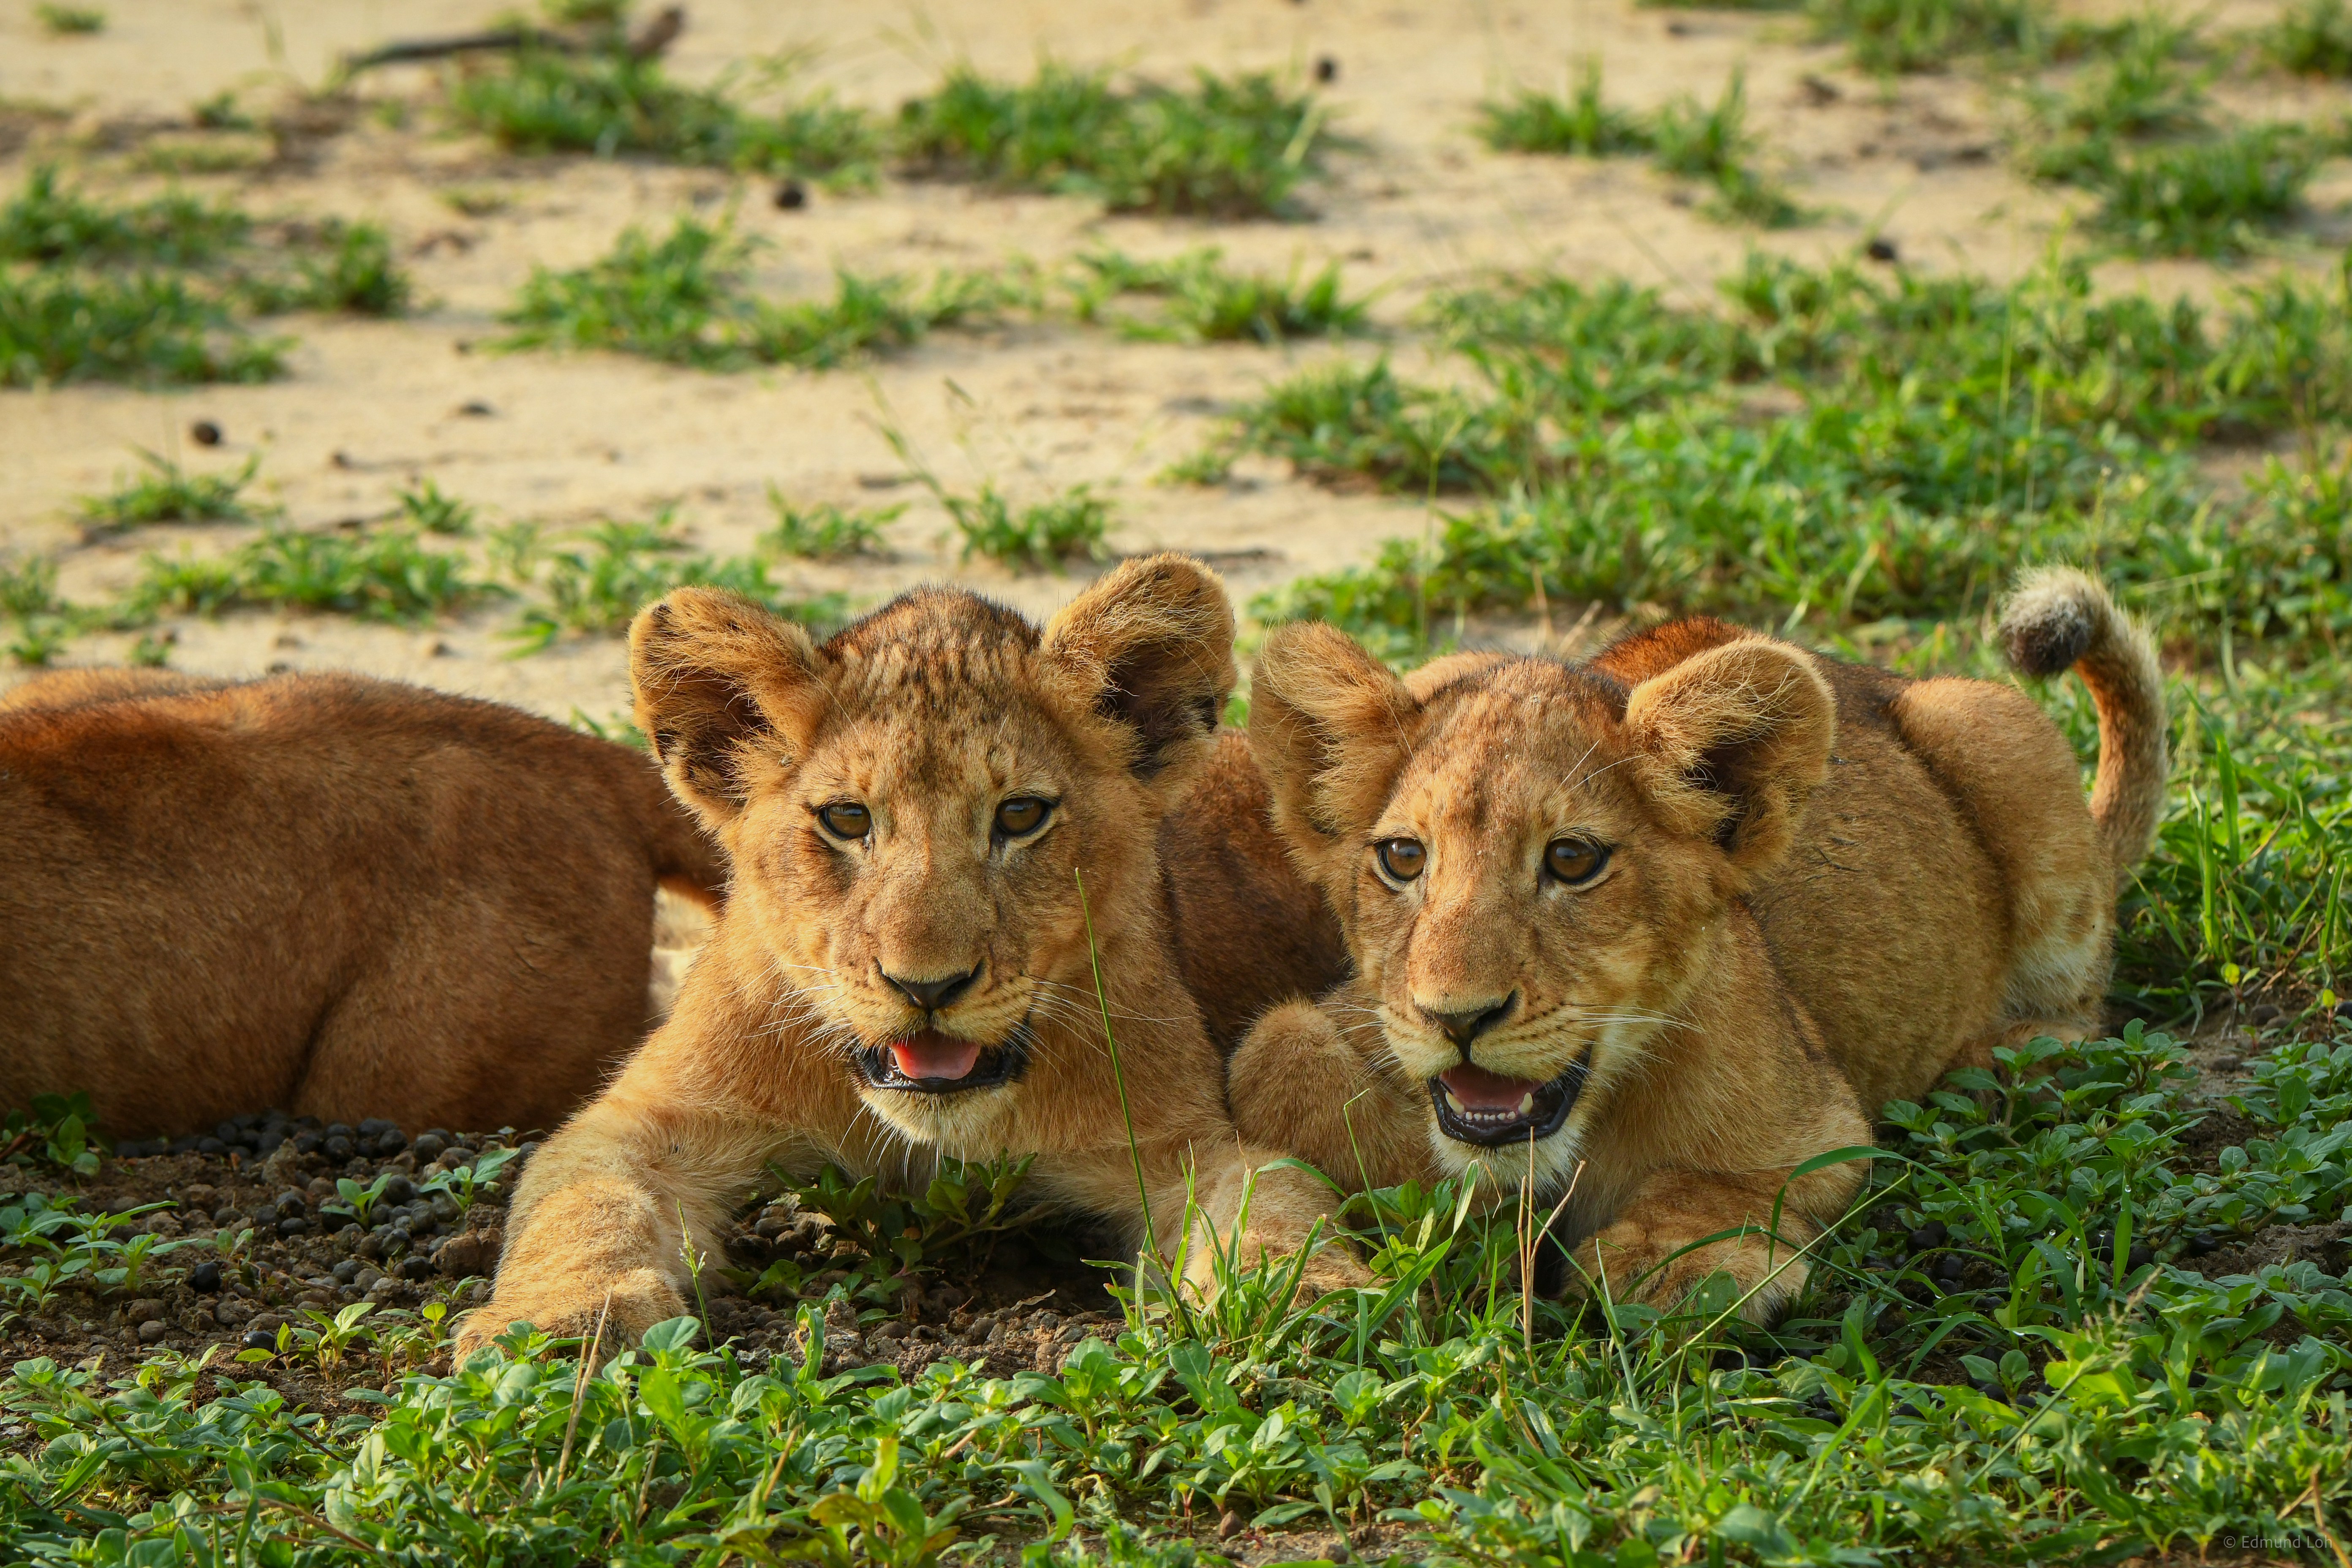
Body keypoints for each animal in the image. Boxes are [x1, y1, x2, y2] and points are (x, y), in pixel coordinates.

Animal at [456, 555, 1357, 1357]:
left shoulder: (1190, 1140)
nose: (928, 986)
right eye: (847, 819)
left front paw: (1304, 1294)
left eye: (1020, 814)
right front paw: (562, 1321)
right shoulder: (640, 1120)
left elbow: (1273, 1198)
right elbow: (582, 1203)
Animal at [1226, 568, 2167, 1320]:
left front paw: (1670, 1259)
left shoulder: (1828, 1117)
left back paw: (1996, 1066)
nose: (1456, 1017)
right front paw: (1441, 1207)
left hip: (1993, 727)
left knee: (2082, 1009)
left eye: (1572, 859)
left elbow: (1728, 1181)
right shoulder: (1354, 1015)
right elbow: (1275, 1056)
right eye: (1402, 857)